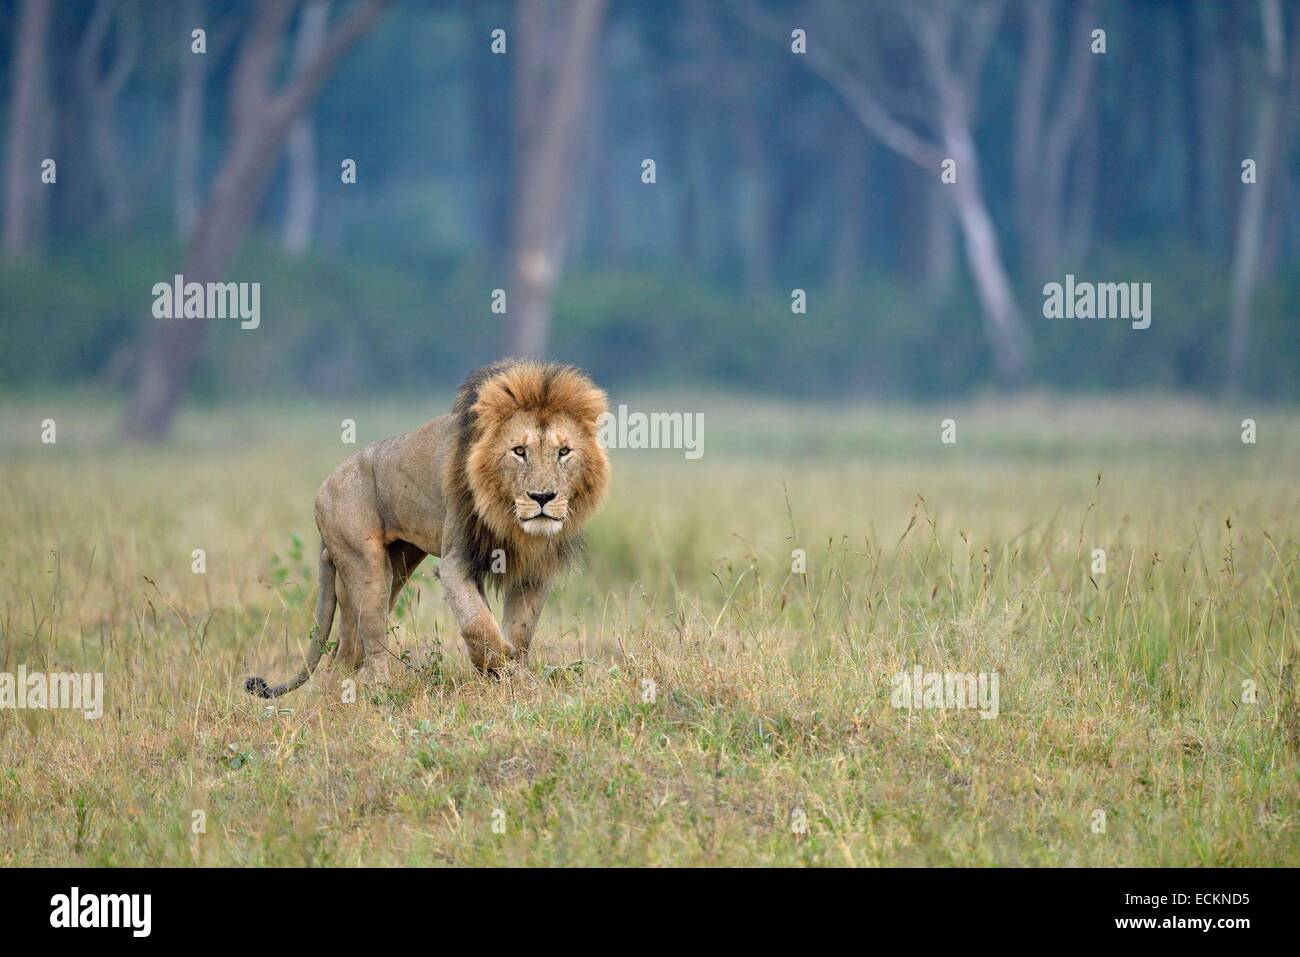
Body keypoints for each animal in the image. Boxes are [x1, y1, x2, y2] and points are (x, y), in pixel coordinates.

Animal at [245, 359, 610, 697]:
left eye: (564, 452)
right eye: (519, 451)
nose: (543, 497)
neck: (510, 520)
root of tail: (323, 488)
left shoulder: (534, 569)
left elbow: (520, 630)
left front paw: (514, 677)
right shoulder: (456, 561)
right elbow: (480, 624)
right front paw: (501, 670)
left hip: (395, 565)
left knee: (343, 656)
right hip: (365, 566)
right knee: (373, 642)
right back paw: (381, 689)